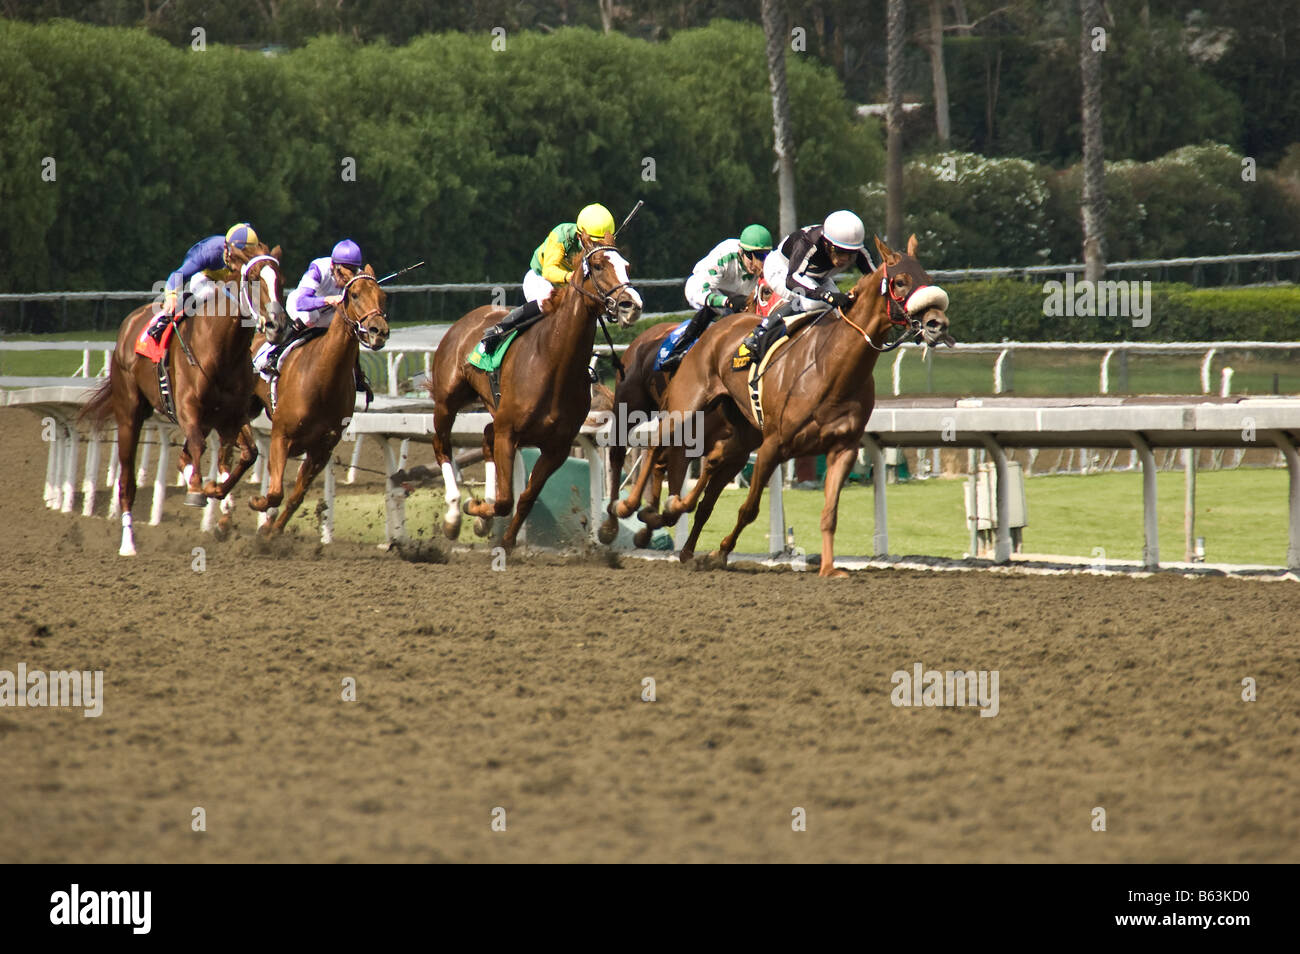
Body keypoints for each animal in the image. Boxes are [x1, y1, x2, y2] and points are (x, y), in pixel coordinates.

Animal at [80, 244, 288, 556]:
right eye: (253, 279)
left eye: (281, 281)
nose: (277, 326)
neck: (221, 351)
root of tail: (130, 322)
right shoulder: (189, 408)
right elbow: (202, 448)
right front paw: (198, 492)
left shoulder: (231, 416)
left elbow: (243, 455)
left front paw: (216, 495)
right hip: (129, 411)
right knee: (127, 480)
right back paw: (128, 542)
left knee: (187, 455)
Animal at [247, 265, 390, 532]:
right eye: (354, 294)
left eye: (383, 296)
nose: (380, 331)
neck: (323, 381)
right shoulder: (281, 435)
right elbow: (275, 492)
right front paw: (258, 503)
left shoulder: (322, 449)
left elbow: (295, 496)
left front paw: (271, 531)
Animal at [428, 234, 643, 548]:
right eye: (598, 265)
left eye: (627, 266)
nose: (631, 305)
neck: (554, 363)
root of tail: (467, 319)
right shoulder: (509, 433)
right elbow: (505, 500)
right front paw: (475, 508)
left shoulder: (556, 448)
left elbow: (526, 498)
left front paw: (504, 537)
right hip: (448, 401)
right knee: (442, 445)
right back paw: (454, 515)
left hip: (494, 409)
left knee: (485, 438)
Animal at [627, 235, 952, 577]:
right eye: (900, 282)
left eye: (927, 278)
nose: (937, 324)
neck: (829, 368)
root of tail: (716, 330)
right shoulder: (773, 446)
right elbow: (749, 509)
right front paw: (718, 552)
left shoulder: (843, 449)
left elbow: (829, 513)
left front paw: (828, 568)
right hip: (687, 406)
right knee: (658, 444)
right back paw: (629, 508)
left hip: (740, 432)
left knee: (707, 469)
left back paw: (675, 527)